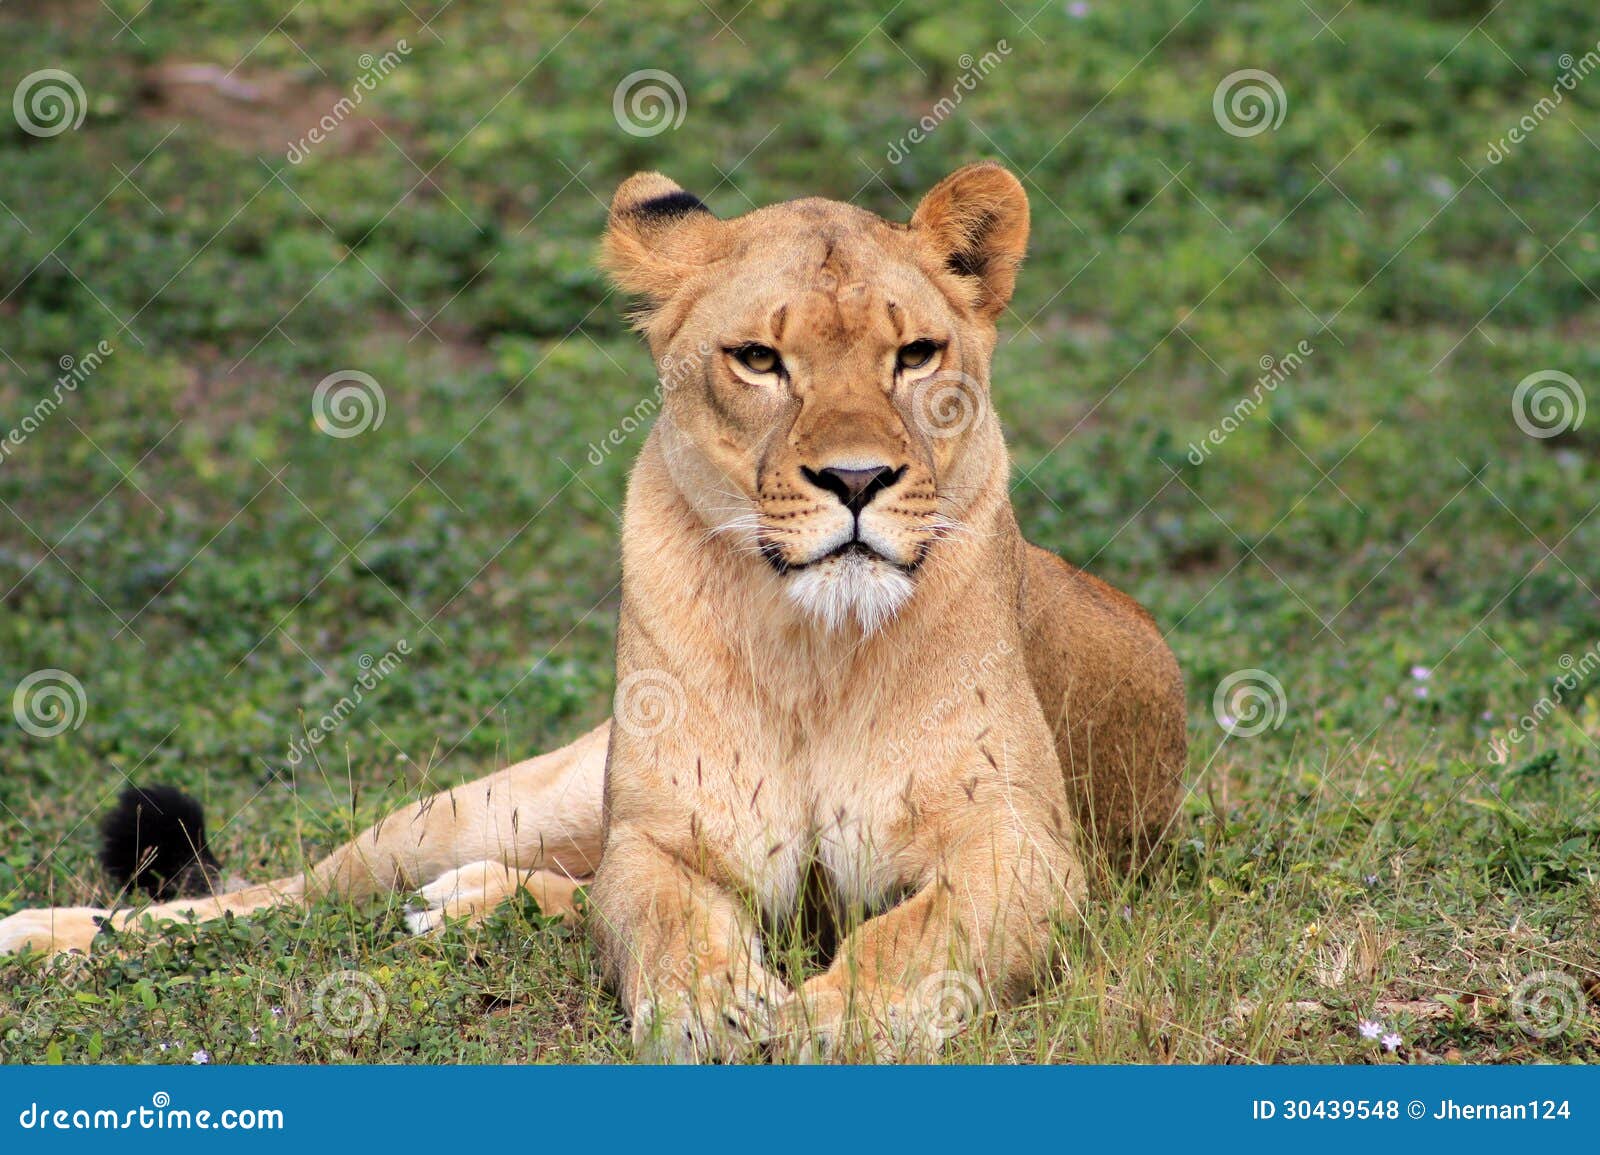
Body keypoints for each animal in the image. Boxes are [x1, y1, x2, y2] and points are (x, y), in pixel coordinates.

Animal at [0, 163, 1186, 1062]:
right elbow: (662, 920)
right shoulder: (665, 835)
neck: (813, 650)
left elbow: (919, 932)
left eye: (916, 354)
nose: (856, 479)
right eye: (760, 359)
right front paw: (709, 1011)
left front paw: (833, 1019)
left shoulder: (1022, 846)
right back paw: (46, 932)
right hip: (513, 800)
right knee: (297, 891)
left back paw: (463, 903)